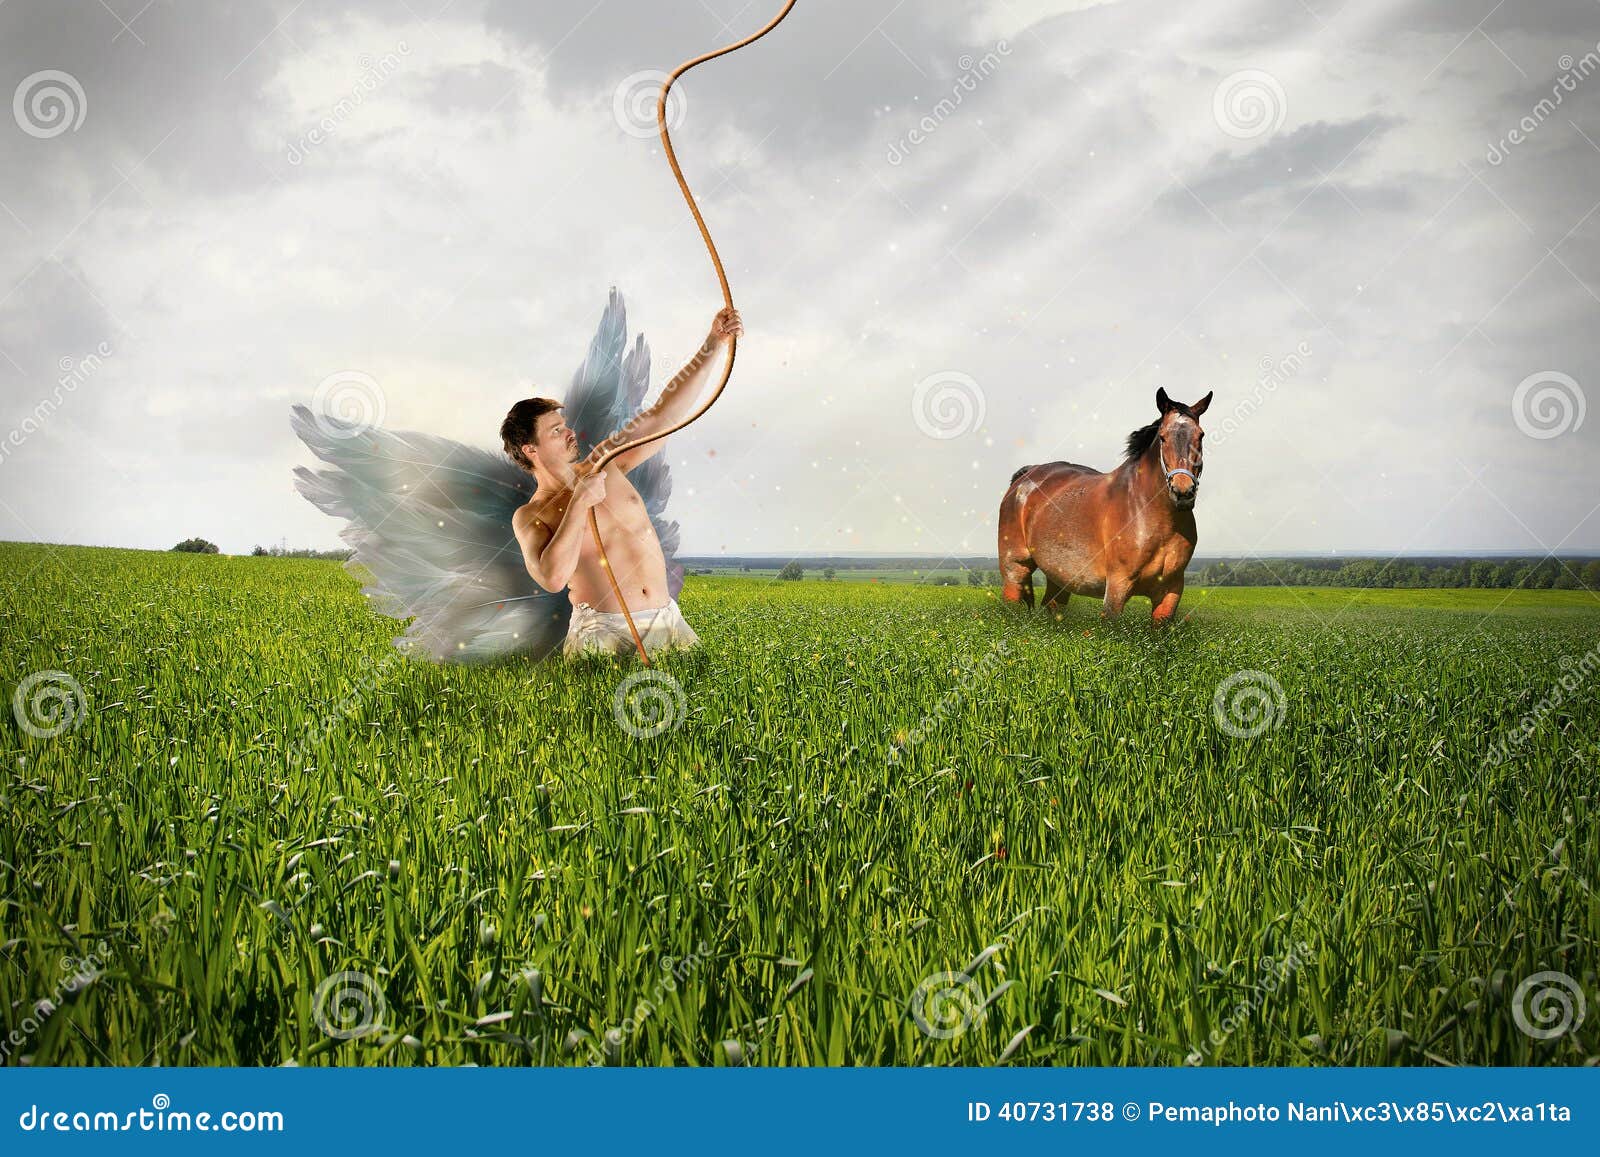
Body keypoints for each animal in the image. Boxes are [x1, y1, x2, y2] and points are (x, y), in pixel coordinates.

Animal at [998, 388, 1212, 625]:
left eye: (1200, 435)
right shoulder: (1117, 587)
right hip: (1015, 569)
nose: (1183, 492)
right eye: (1163, 437)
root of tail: (1023, 478)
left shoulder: (1170, 592)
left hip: (1058, 577)